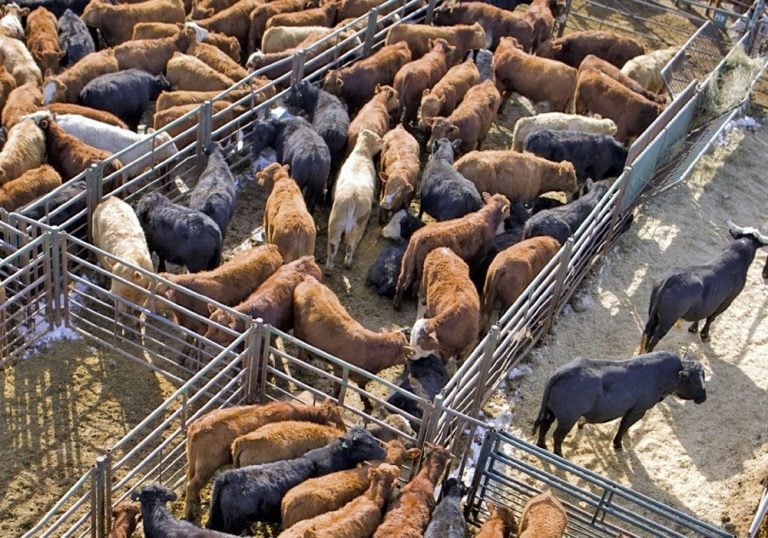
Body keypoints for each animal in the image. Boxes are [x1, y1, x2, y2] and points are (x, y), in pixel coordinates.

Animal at [532, 351, 707, 456]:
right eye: (697, 383)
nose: (704, 397)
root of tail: (563, 372)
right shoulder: (639, 409)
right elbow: (624, 426)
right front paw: (617, 444)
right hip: (568, 417)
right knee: (557, 435)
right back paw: (558, 454)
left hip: (551, 410)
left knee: (545, 425)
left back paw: (542, 446)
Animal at [639, 220, 768, 353]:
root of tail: (674, 278)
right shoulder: (727, 301)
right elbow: (711, 318)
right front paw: (705, 336)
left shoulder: (704, 305)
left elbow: (701, 314)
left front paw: (693, 329)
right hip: (667, 320)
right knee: (654, 339)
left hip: (653, 314)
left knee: (647, 333)